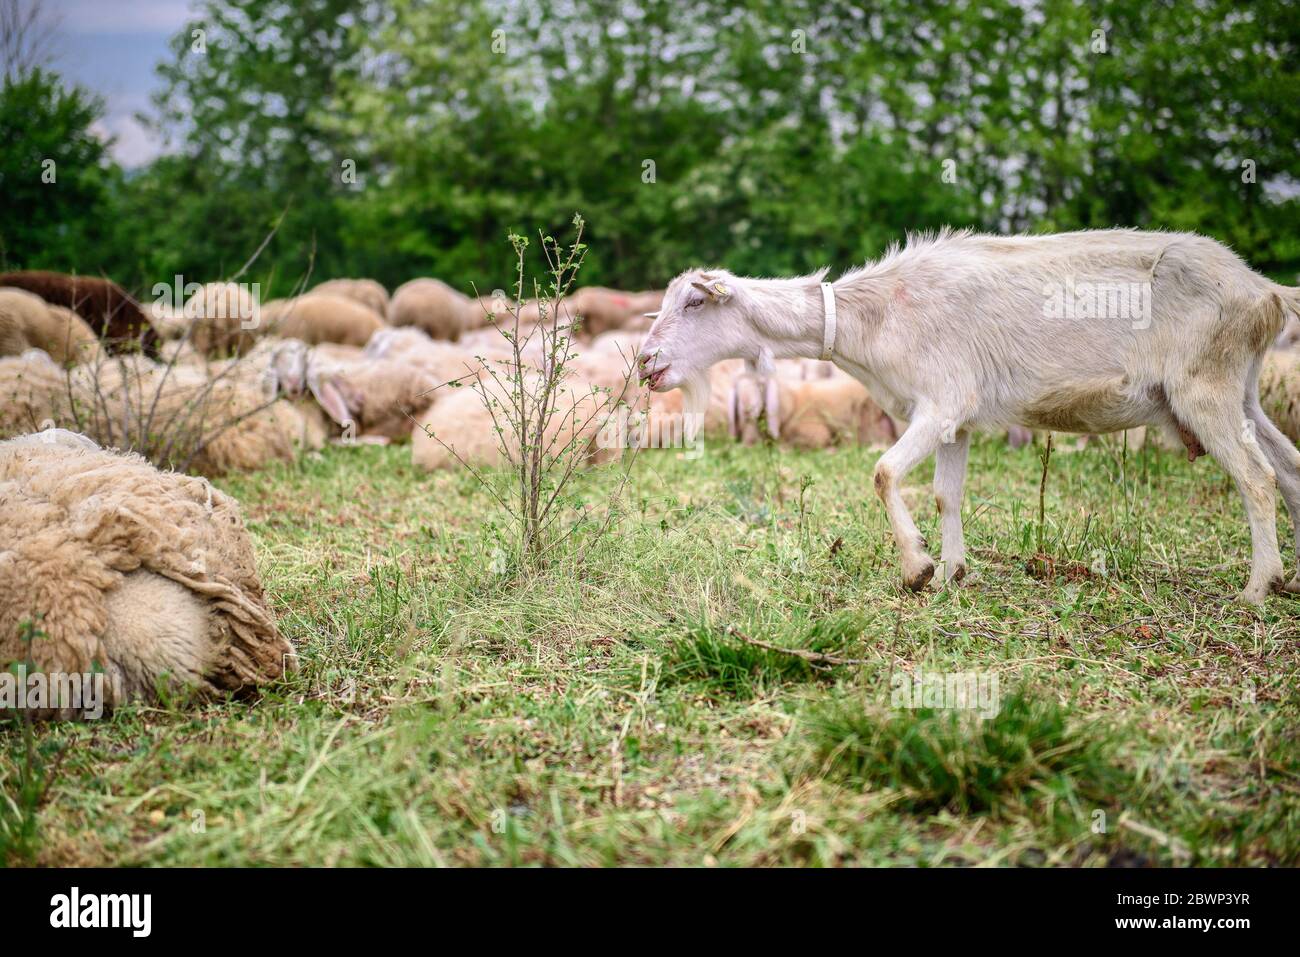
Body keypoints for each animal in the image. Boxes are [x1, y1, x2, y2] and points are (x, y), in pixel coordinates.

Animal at [639, 228, 1300, 603]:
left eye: (694, 302)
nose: (645, 360)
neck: (874, 316)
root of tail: (1263, 288)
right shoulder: (954, 419)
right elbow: (945, 494)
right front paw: (953, 573)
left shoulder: (942, 401)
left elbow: (883, 472)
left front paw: (917, 568)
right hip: (1241, 390)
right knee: (1288, 468)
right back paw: (1287, 580)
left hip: (1204, 387)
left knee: (1256, 477)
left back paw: (1256, 588)